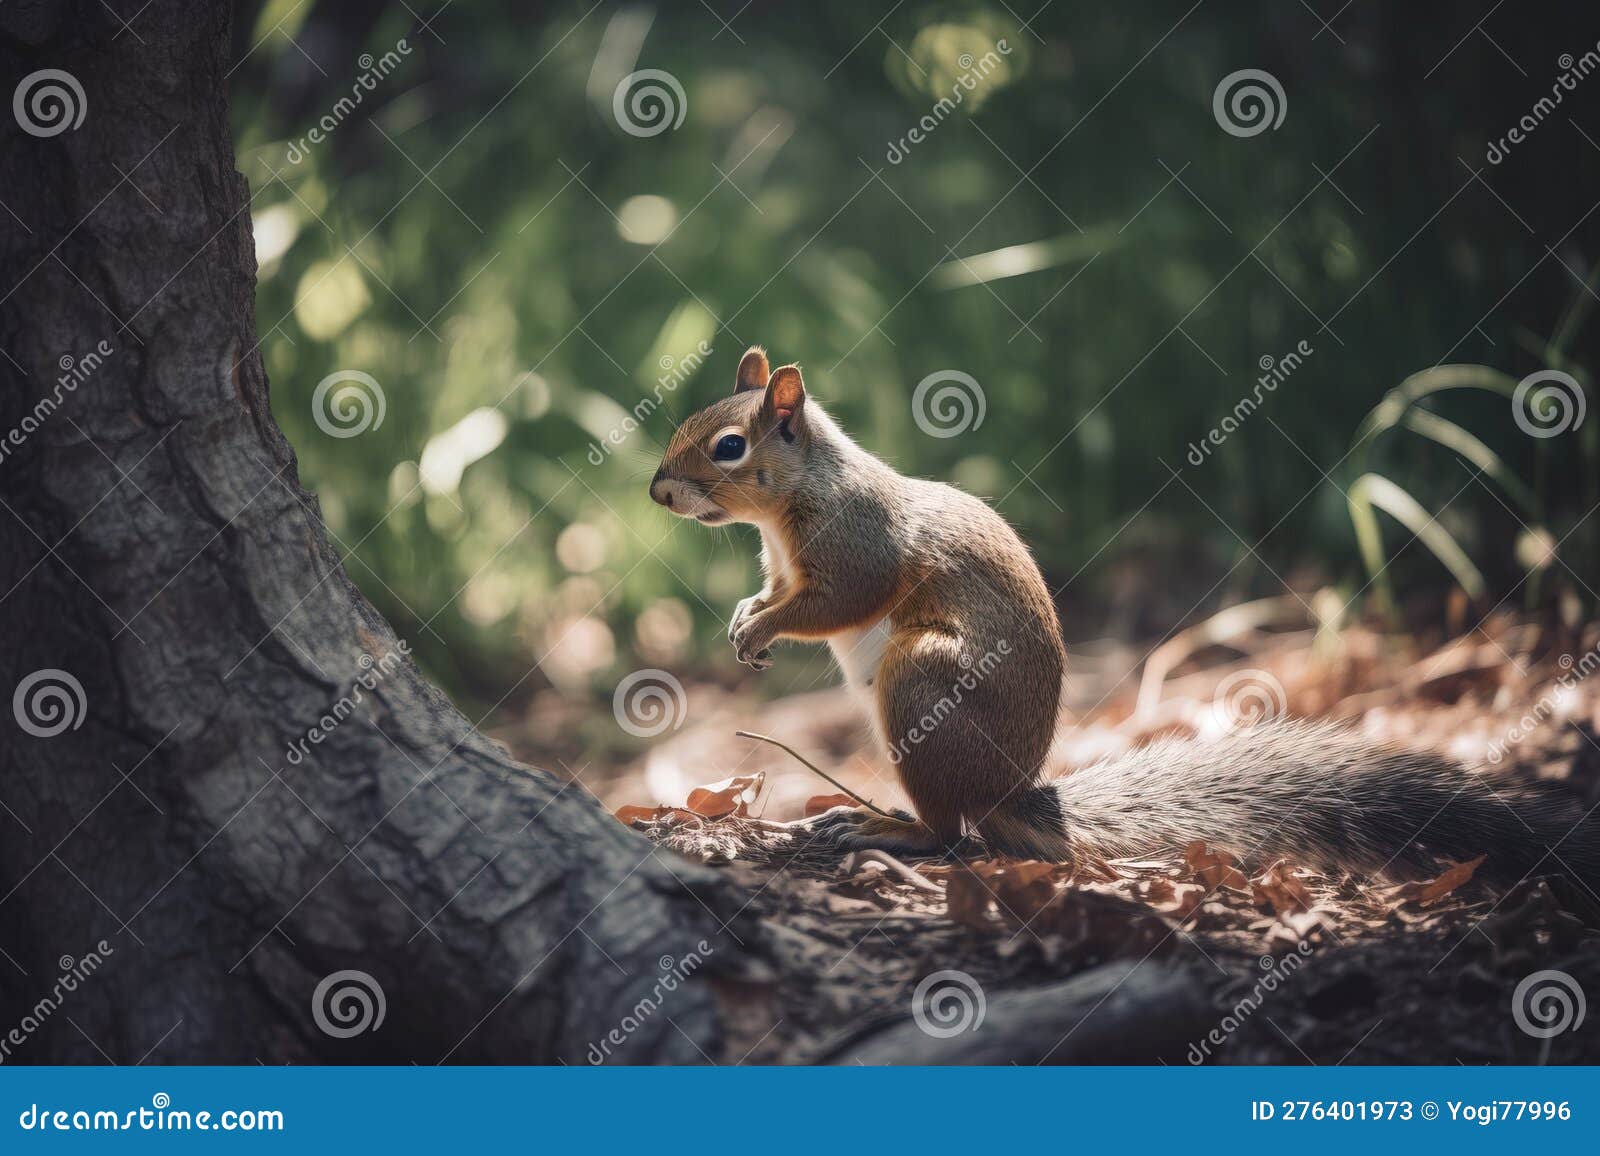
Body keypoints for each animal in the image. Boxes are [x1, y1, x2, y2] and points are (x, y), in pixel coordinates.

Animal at [649, 346, 1600, 884]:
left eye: (728, 446)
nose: (657, 491)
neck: (783, 515)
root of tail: (1008, 790)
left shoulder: (858, 543)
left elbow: (838, 601)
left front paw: (764, 629)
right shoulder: (783, 562)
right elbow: (777, 595)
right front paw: (746, 616)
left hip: (922, 681)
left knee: (955, 837)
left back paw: (887, 825)